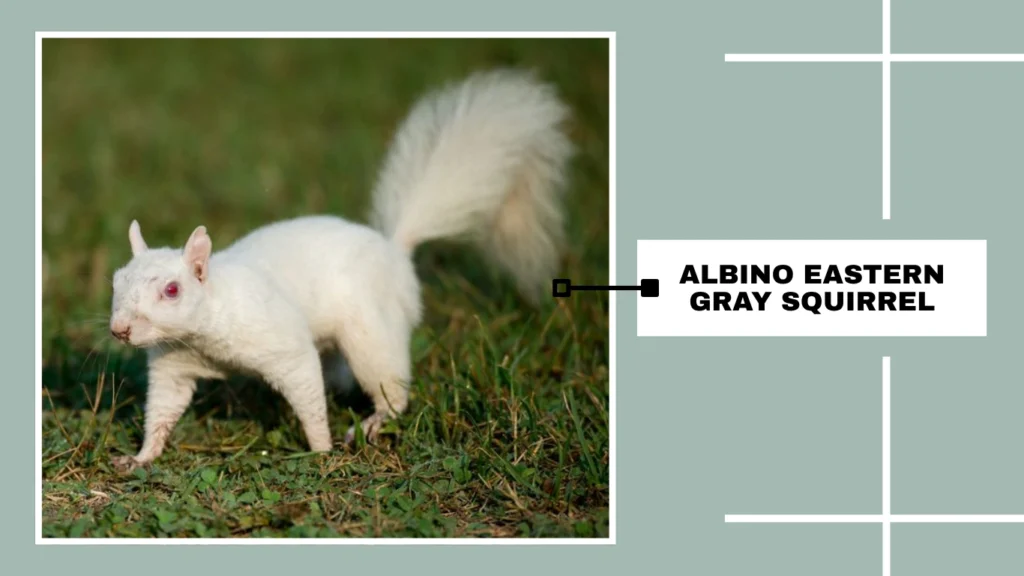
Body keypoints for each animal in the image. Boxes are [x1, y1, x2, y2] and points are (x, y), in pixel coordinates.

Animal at [107, 69, 574, 474]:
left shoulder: (284, 345)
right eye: (116, 280)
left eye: (172, 290)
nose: (119, 330)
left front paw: (321, 448)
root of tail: (394, 251)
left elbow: (306, 394)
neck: (204, 332)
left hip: (372, 331)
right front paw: (141, 456)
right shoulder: (174, 364)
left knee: (390, 388)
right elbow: (162, 410)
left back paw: (370, 423)